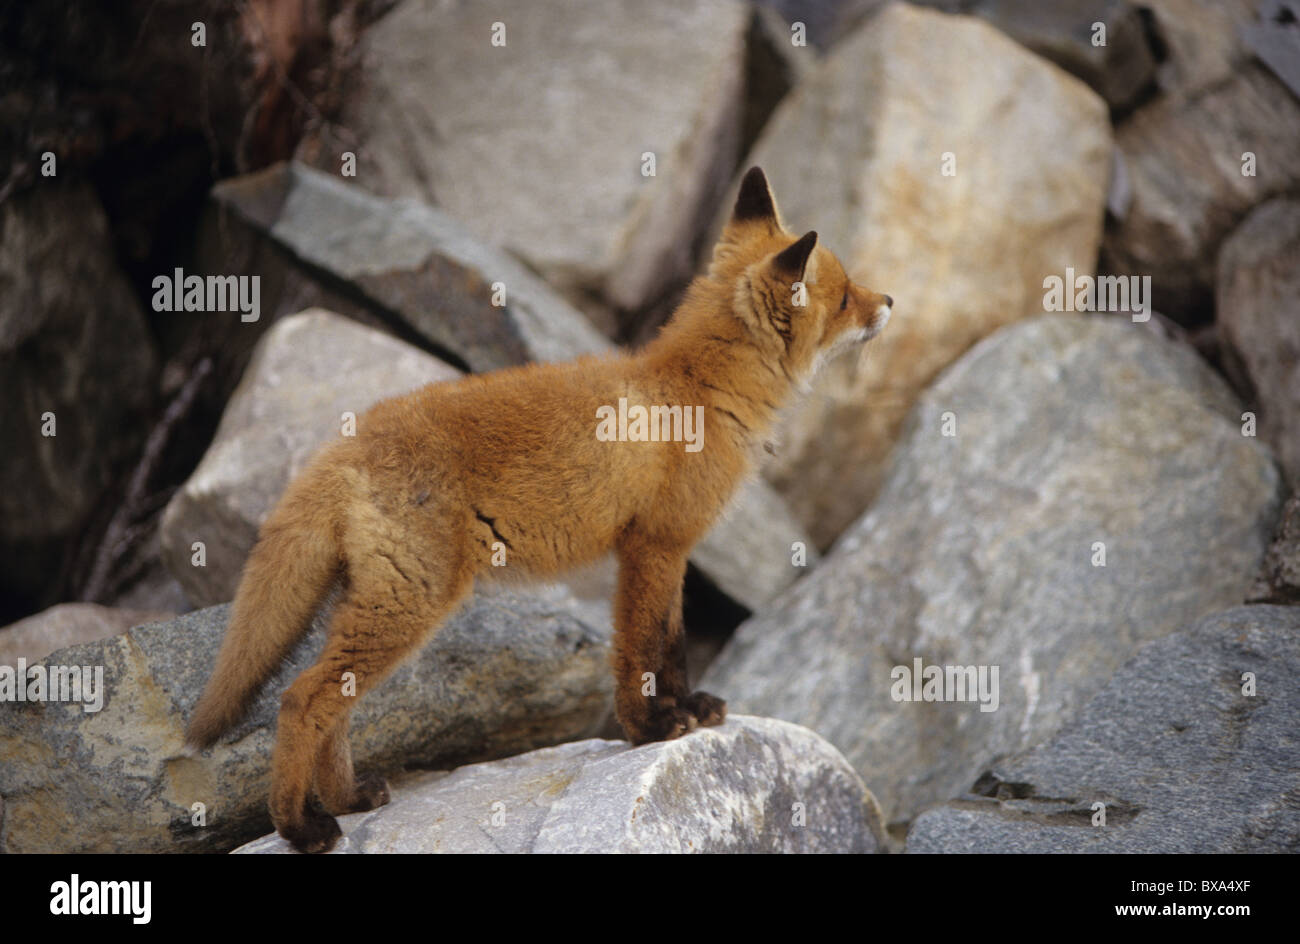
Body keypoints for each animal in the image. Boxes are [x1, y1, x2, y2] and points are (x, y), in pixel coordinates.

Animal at [184, 167, 893, 853]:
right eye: (844, 296)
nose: (889, 302)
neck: (695, 390)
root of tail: (345, 442)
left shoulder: (670, 551)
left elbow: (671, 646)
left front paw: (688, 709)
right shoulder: (653, 547)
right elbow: (641, 651)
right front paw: (651, 728)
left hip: (379, 609)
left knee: (336, 706)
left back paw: (348, 798)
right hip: (409, 606)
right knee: (300, 700)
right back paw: (298, 827)